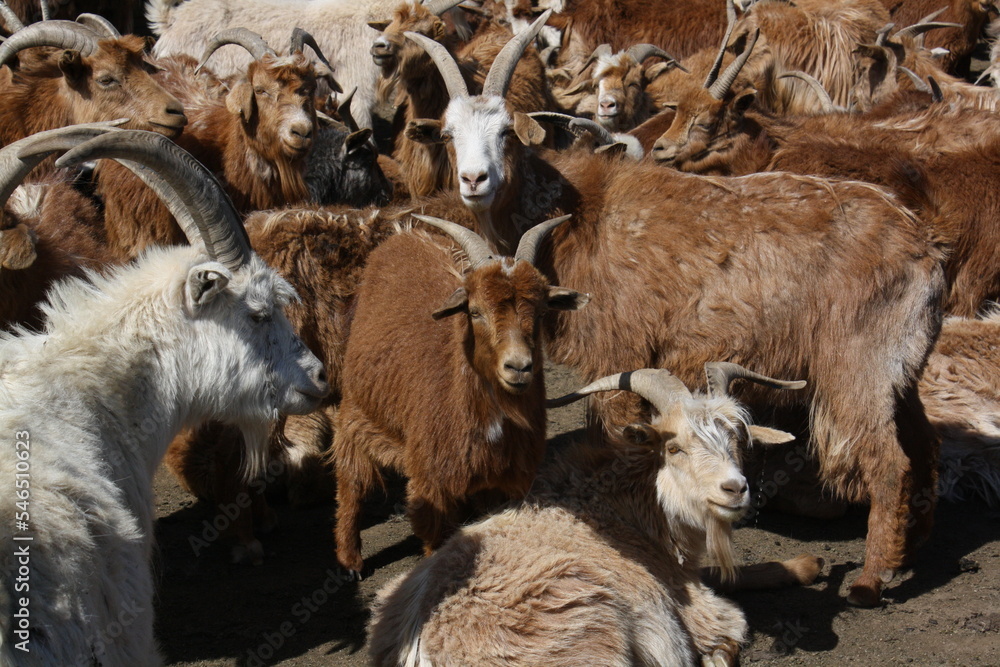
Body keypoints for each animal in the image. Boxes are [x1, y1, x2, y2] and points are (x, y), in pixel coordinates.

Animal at [332, 214, 589, 576]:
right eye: (475, 311)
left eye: (541, 312)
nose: (518, 367)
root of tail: (405, 233)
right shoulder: (431, 483)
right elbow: (435, 538)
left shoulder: (508, 482)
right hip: (356, 410)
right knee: (350, 478)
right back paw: (350, 558)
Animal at [369, 364, 809, 666]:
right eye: (673, 448)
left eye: (737, 439)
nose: (734, 489)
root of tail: (422, 646)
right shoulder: (695, 609)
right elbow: (727, 629)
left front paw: (808, 565)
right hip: (594, 637)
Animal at [407, 24, 948, 607]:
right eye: (448, 133)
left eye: (507, 132)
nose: (474, 179)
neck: (579, 215)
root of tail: (926, 249)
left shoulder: (620, 353)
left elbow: (620, 438)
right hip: (899, 365)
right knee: (923, 443)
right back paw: (912, 549)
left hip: (857, 368)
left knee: (890, 463)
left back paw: (871, 580)